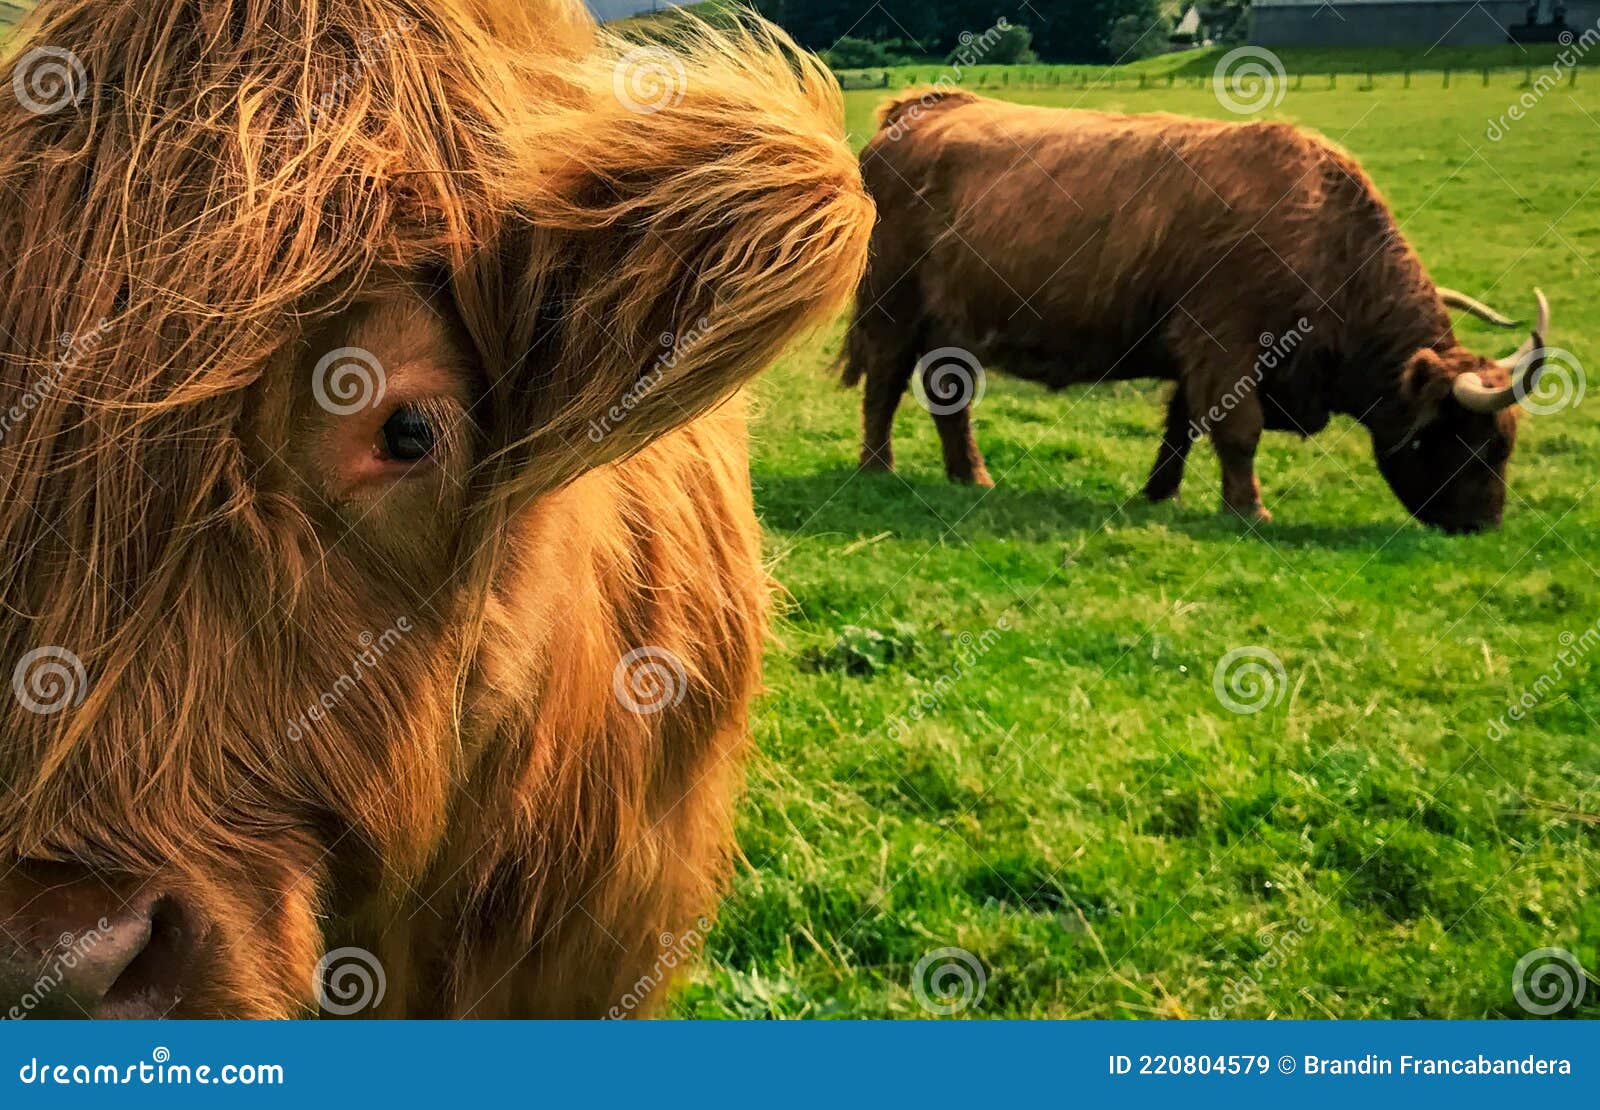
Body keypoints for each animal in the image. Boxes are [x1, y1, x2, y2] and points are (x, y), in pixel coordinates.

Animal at [844, 89, 1552, 532]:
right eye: (1471, 444)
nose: (1483, 525)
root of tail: (917, 110)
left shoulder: (1197, 349)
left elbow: (1181, 424)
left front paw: (1158, 492)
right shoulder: (1225, 344)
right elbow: (1238, 431)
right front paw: (1248, 511)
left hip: (953, 329)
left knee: (949, 398)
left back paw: (971, 477)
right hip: (892, 309)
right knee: (883, 385)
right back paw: (878, 468)